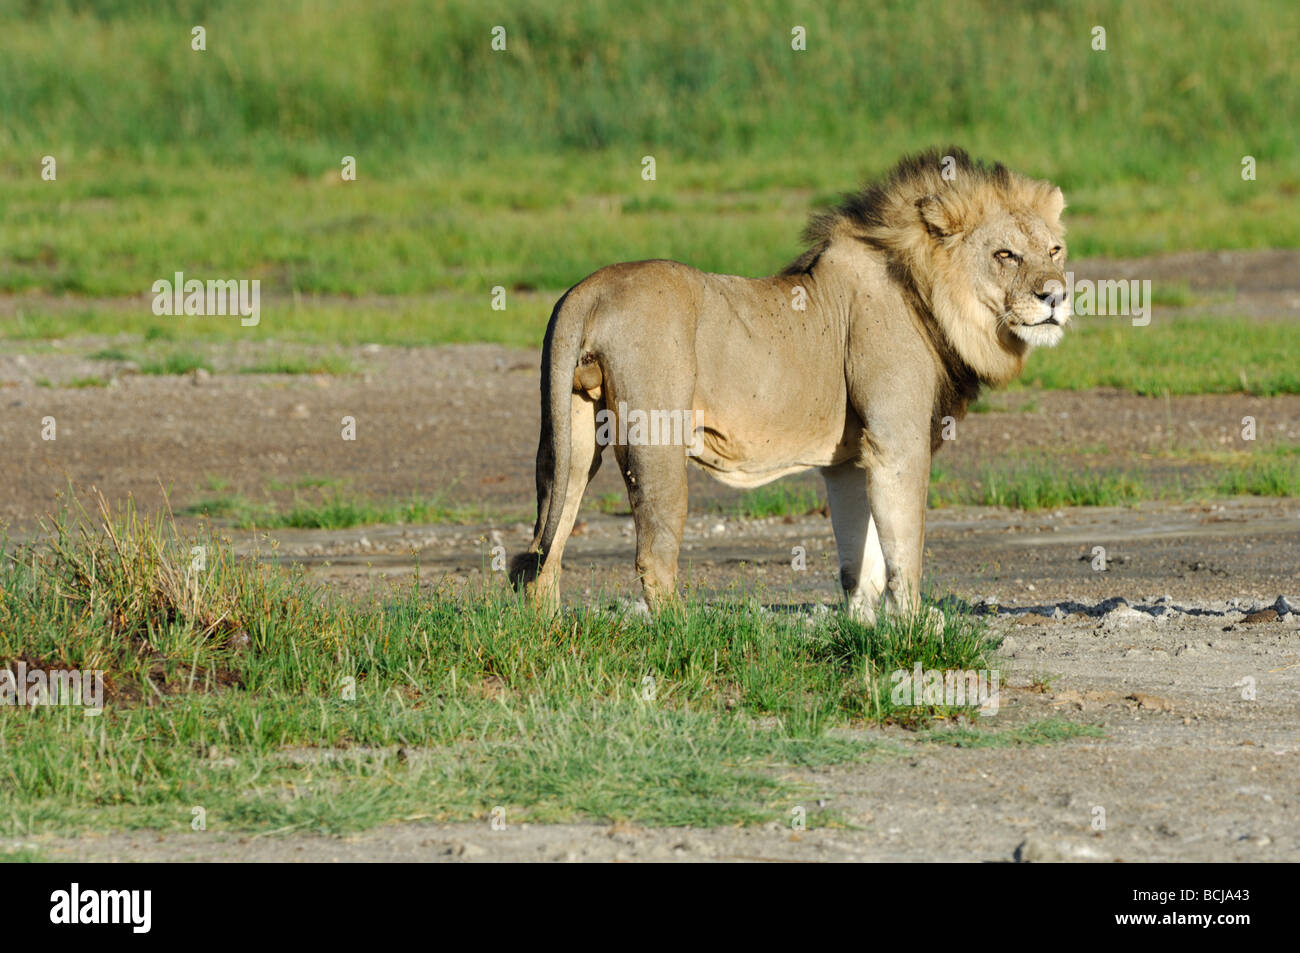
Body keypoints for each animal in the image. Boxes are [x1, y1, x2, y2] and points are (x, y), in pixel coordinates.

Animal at [510, 147, 1069, 622]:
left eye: (1055, 249)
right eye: (1006, 255)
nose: (1058, 296)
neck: (929, 296)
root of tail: (588, 290)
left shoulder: (850, 461)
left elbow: (860, 565)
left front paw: (862, 630)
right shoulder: (898, 443)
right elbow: (903, 552)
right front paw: (914, 628)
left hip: (568, 436)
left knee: (545, 547)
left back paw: (548, 633)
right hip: (656, 442)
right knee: (653, 556)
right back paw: (683, 634)